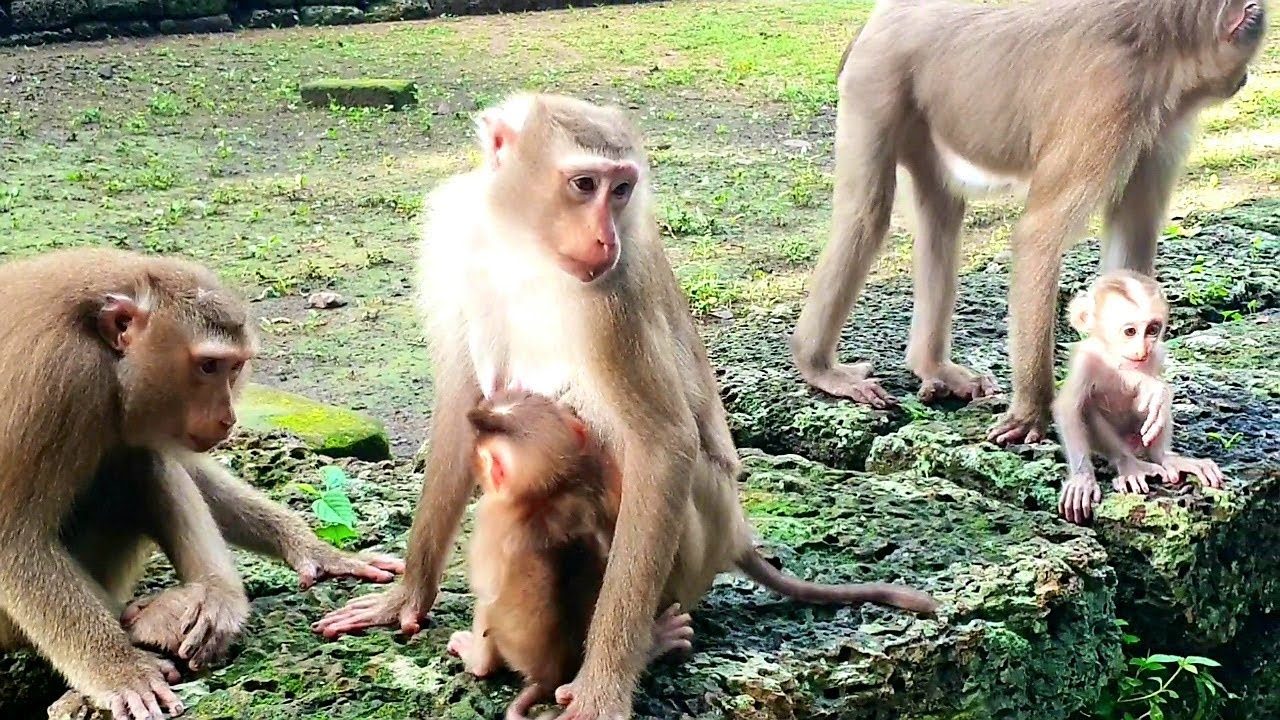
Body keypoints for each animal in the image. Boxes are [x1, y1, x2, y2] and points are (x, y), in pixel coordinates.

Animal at [0, 247, 404, 720]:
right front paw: (122, 671)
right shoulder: (57, 380)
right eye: (208, 366)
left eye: (234, 367)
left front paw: (315, 549)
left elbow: (179, 462)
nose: (228, 418)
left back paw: (214, 600)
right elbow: (14, 540)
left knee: (140, 458)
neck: (101, 348)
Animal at [313, 93, 938, 720]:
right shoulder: (452, 240)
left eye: (621, 190)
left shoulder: (612, 295)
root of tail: (736, 531)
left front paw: (602, 688)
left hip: (698, 531)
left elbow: (663, 446)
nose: (604, 239)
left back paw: (644, 639)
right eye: (585, 183)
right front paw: (407, 595)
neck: (521, 246)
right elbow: (461, 406)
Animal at [790, 0, 1266, 447]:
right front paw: (1032, 413)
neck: (1161, 45)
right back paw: (818, 367)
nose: (1243, 79)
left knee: (942, 213)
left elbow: (1131, 242)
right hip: (875, 82)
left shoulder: (1156, 126)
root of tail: (885, 14)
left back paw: (932, 366)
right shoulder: (1112, 103)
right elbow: (1039, 234)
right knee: (865, 214)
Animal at [1053, 270, 1225, 524]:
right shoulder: (1086, 360)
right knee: (1090, 407)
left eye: (1152, 330)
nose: (1142, 350)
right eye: (1130, 331)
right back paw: (1129, 465)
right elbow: (1068, 408)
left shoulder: (1157, 353)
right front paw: (1082, 479)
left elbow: (1157, 393)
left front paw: (1147, 384)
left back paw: (1163, 456)